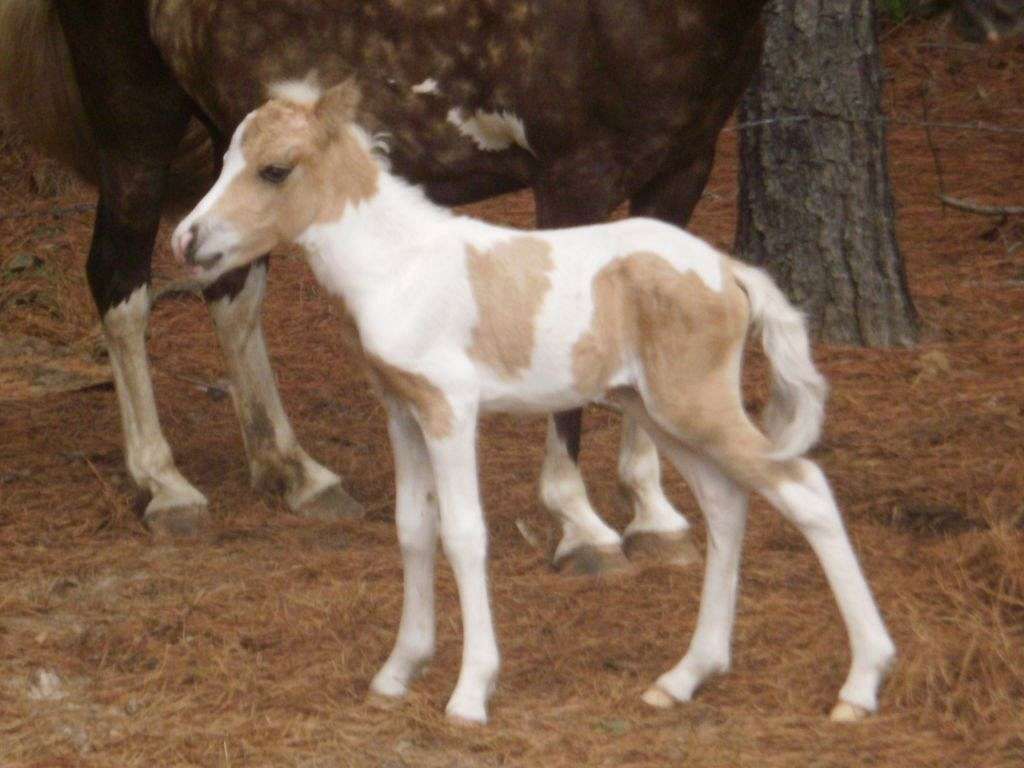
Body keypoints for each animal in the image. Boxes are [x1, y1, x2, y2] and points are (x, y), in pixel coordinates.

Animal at [0, 0, 766, 571]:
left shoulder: (683, 168)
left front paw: (653, 517)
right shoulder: (575, 175)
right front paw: (580, 525)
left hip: (234, 139)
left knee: (231, 289)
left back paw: (293, 471)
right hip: (135, 124)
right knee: (120, 284)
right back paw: (166, 486)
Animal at [169, 80, 895, 725]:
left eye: (274, 169)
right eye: (224, 159)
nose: (186, 240)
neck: (397, 266)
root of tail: (728, 270)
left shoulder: (450, 408)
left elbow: (463, 534)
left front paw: (470, 692)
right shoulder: (402, 409)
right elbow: (412, 529)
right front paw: (398, 671)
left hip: (696, 404)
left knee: (805, 488)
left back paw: (862, 683)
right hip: (661, 412)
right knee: (725, 504)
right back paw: (685, 677)